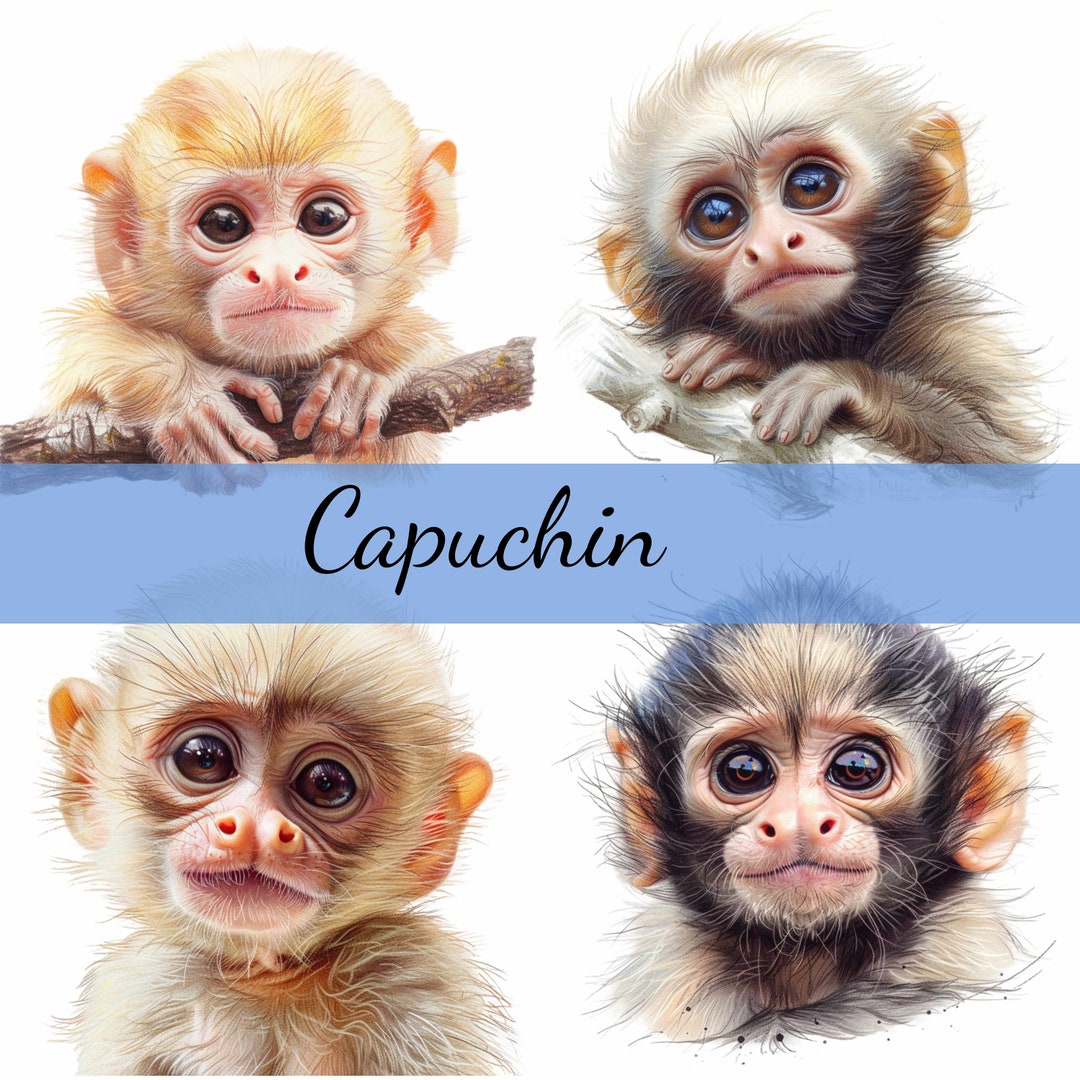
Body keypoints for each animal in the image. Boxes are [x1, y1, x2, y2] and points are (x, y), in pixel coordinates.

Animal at [48, 623, 512, 1074]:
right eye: (203, 758)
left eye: (326, 782)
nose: (257, 829)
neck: (269, 978)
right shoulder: (135, 994)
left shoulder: (420, 982)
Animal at [597, 36, 1050, 463]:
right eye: (716, 215)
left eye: (810, 185)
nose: (772, 245)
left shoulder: (954, 334)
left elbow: (1003, 456)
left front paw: (790, 368)